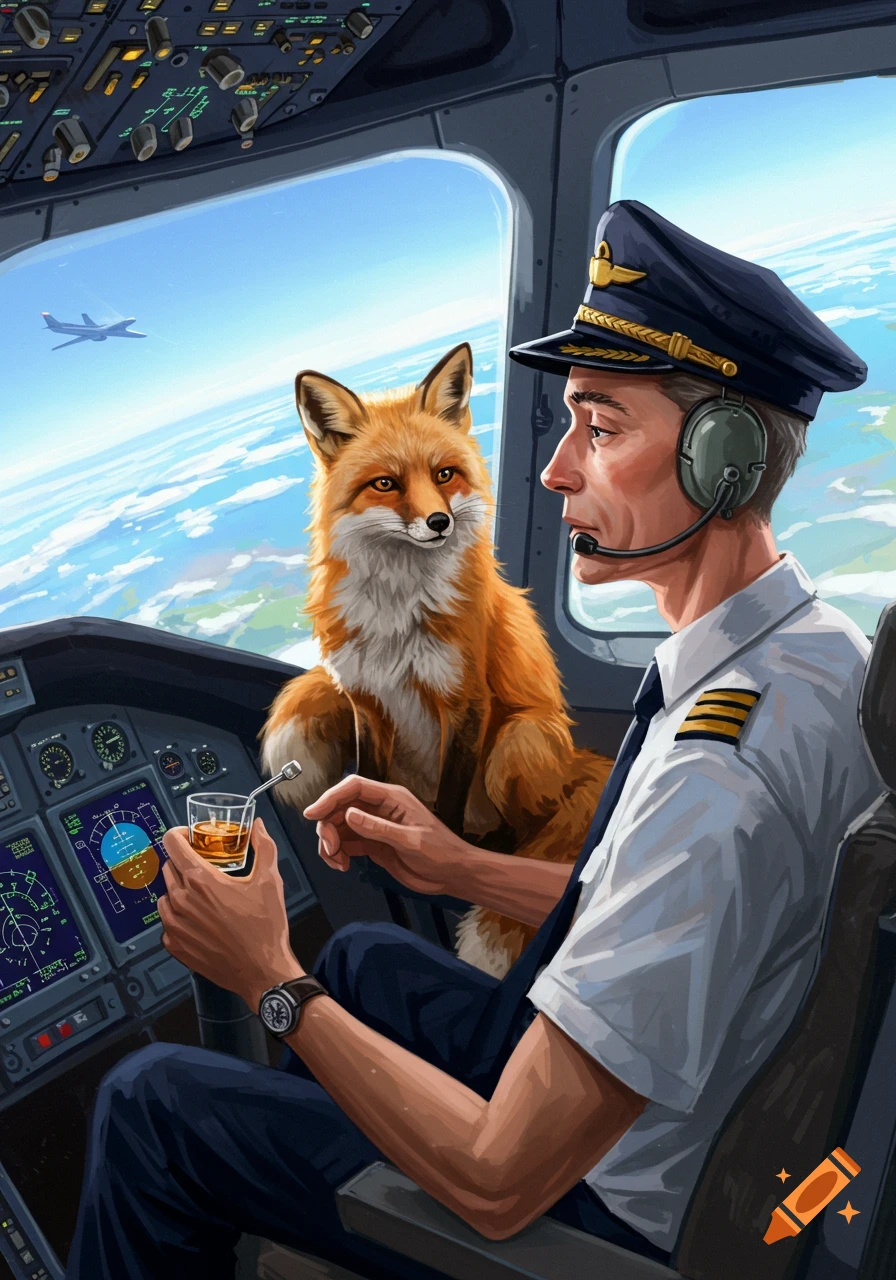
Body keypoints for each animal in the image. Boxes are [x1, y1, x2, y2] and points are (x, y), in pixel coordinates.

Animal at [260, 341, 613, 977]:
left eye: (444, 475)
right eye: (385, 483)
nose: (439, 522)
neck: (397, 611)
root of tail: (579, 762)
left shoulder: (465, 702)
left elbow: (447, 802)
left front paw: (435, 859)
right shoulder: (367, 699)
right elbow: (364, 774)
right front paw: (361, 842)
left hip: (517, 741)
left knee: (526, 828)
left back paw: (493, 849)